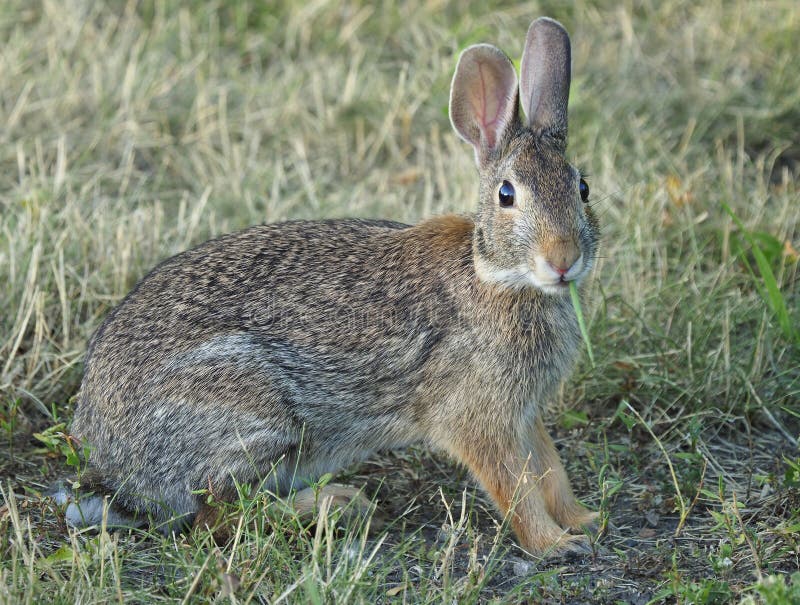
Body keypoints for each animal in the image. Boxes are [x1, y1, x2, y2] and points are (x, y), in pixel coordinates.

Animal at [59, 17, 600, 557]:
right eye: (507, 195)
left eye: (583, 187)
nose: (563, 260)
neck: (495, 274)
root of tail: (110, 461)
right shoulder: (479, 414)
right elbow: (514, 486)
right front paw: (555, 545)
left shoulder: (524, 413)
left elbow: (549, 468)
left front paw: (584, 520)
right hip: (252, 414)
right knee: (216, 517)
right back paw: (336, 504)